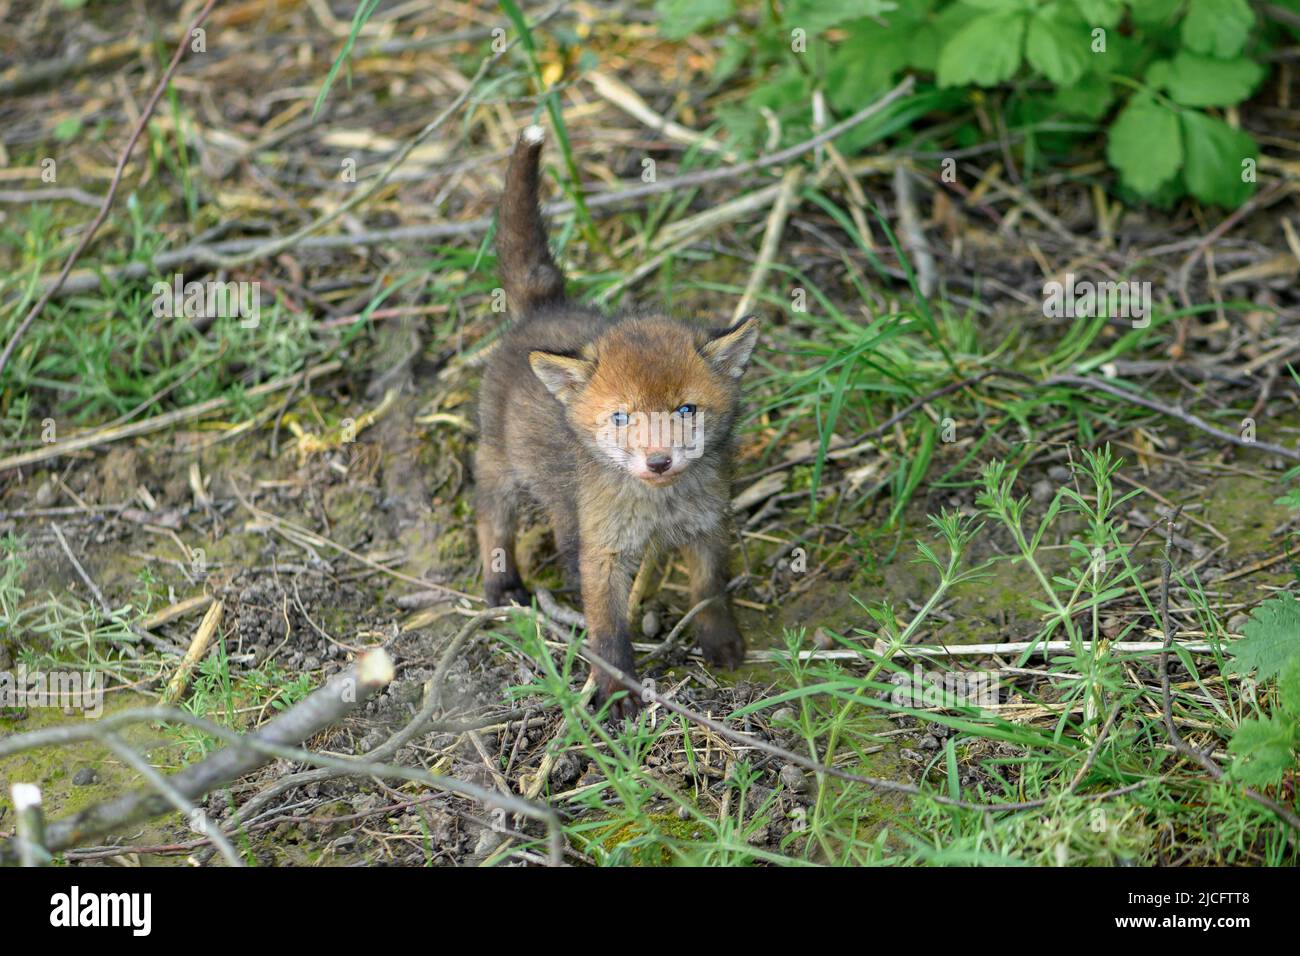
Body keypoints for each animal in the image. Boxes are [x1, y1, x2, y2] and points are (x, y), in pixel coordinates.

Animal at [474, 124, 759, 719]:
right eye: (622, 416)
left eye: (685, 410)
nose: (658, 462)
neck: (659, 507)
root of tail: (546, 306)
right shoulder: (605, 553)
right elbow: (607, 630)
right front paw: (617, 691)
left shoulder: (709, 527)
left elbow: (709, 591)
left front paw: (719, 640)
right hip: (500, 465)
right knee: (490, 517)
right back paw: (501, 585)